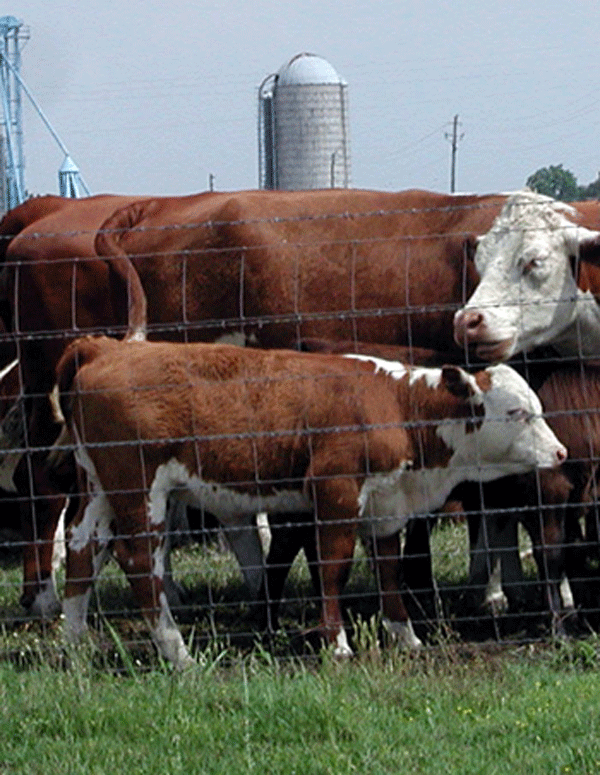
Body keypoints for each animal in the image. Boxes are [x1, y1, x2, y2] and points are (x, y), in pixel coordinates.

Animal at [51, 333, 566, 669]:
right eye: (516, 412)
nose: (561, 453)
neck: (396, 405)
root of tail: (108, 346)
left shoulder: (385, 505)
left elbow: (389, 571)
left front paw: (406, 636)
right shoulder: (335, 491)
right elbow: (333, 566)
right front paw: (336, 643)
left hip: (98, 488)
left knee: (82, 549)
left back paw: (76, 645)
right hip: (140, 490)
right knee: (139, 560)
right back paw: (178, 653)